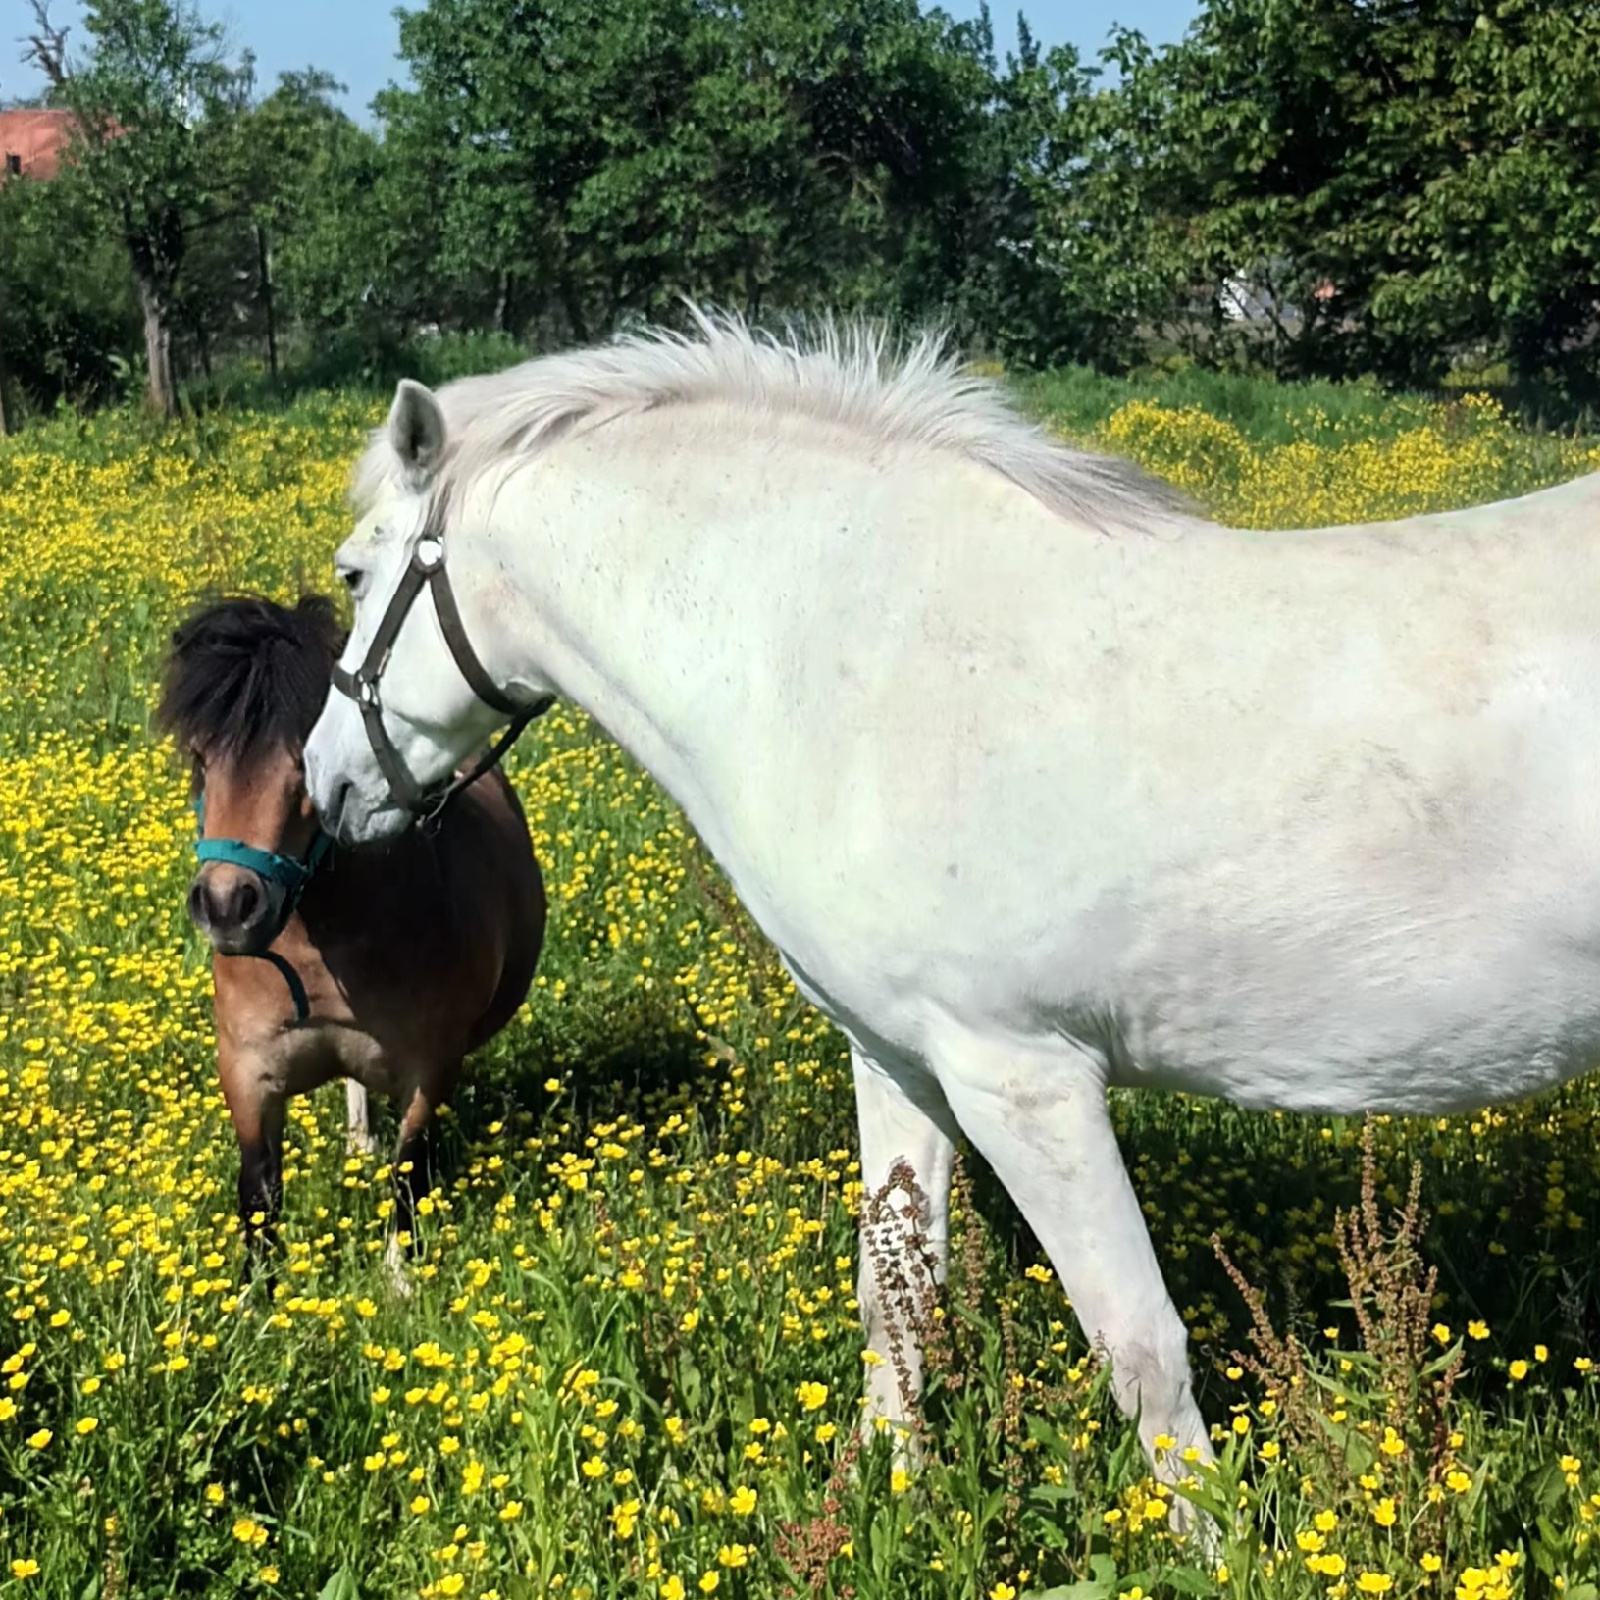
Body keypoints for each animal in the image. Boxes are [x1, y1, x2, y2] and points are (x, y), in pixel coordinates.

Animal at [158, 594, 546, 1274]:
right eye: (200, 759)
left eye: (303, 765)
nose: (228, 907)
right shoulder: (247, 1070)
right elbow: (259, 1192)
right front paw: (257, 1293)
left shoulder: (429, 1068)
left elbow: (409, 1171)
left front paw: (400, 1278)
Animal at [300, 308, 1600, 1508]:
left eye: (354, 575)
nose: (324, 784)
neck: (860, 657)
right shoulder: (898, 1056)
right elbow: (895, 1298)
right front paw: (888, 1497)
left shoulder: (1021, 1075)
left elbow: (1139, 1348)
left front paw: (1215, 1549)